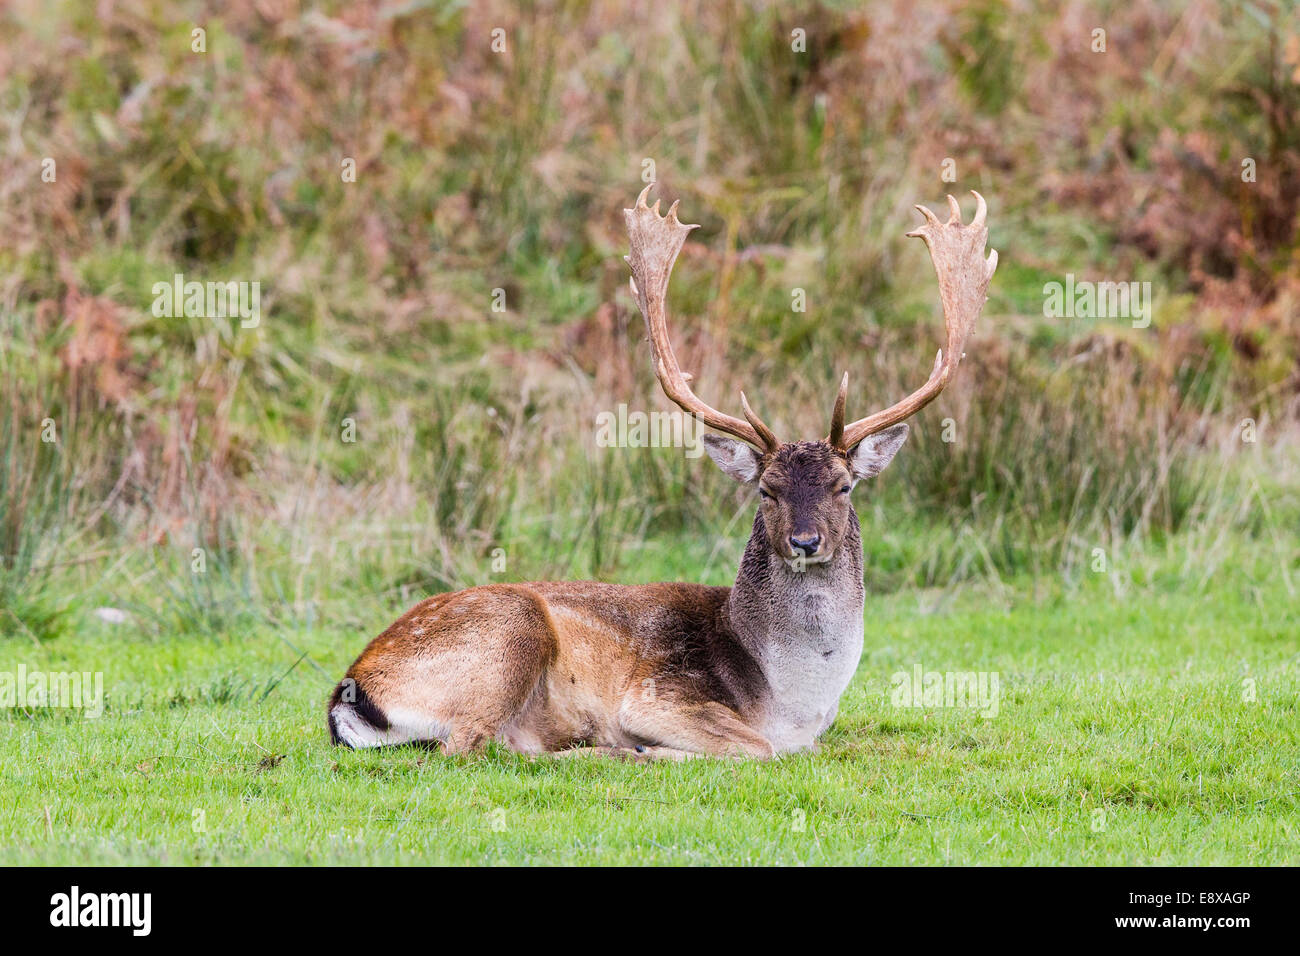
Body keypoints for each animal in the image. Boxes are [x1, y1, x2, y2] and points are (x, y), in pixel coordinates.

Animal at [328, 185, 997, 759]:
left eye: (843, 485)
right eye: (767, 489)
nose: (805, 540)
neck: (795, 700)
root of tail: (350, 691)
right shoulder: (658, 694)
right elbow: (757, 747)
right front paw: (653, 748)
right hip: (512, 631)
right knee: (471, 745)